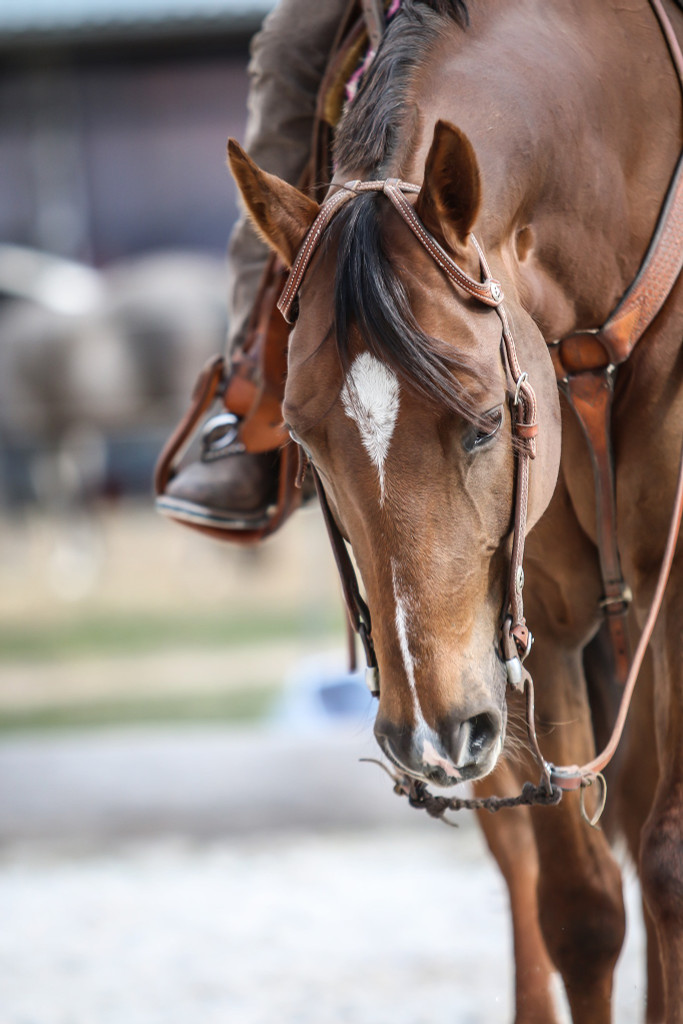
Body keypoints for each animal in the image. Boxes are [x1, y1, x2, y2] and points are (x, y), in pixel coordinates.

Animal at [226, 1, 683, 1020]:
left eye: (483, 424)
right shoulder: (531, 618)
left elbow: (669, 865)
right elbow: (579, 907)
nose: (430, 737)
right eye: (304, 439)